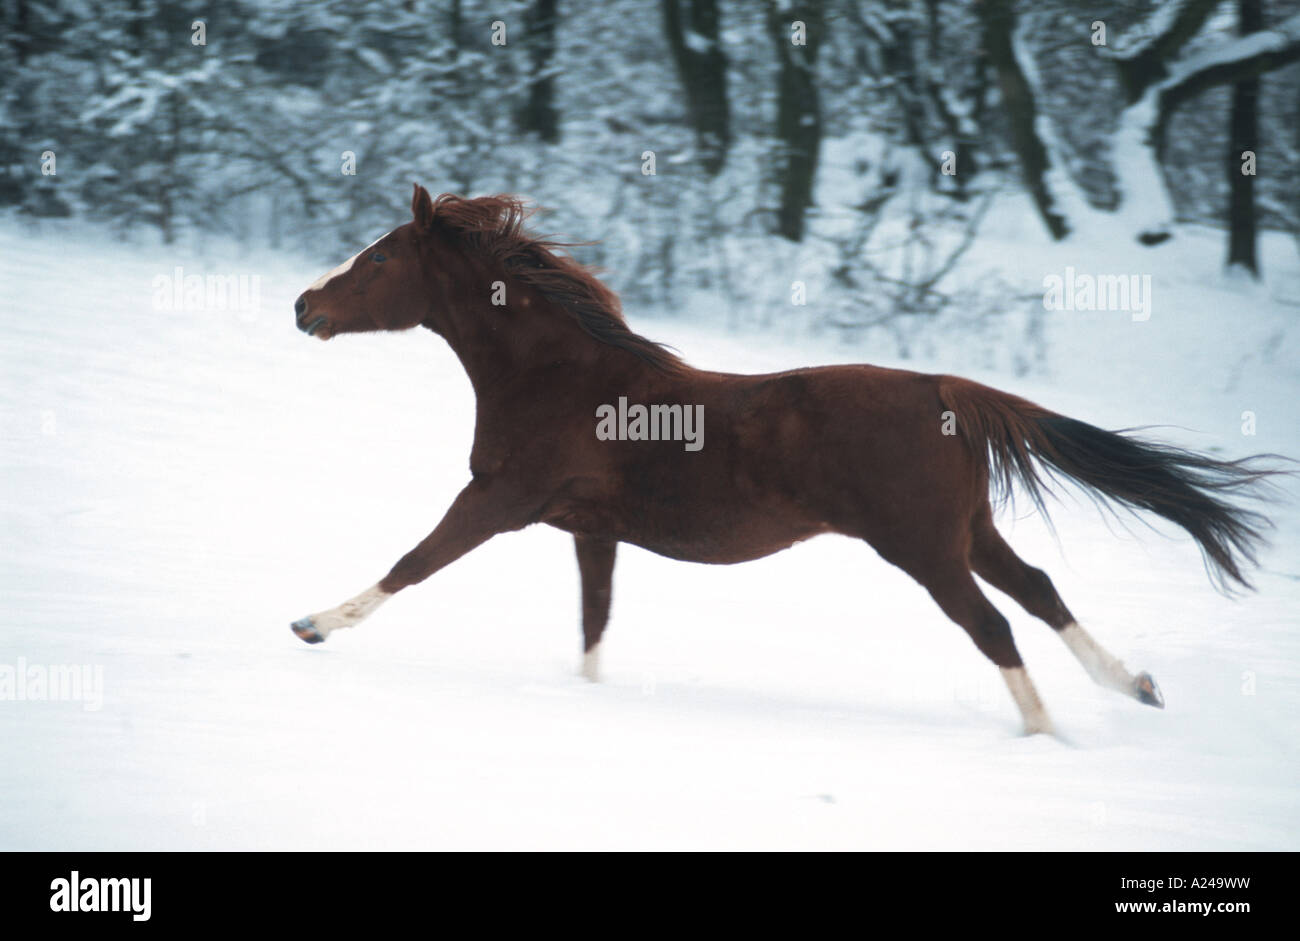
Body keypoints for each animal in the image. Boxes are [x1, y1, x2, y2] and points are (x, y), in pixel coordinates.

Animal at [289, 183, 1282, 735]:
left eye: (377, 259)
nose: (304, 306)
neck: (560, 376)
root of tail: (945, 390)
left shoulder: (500, 498)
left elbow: (412, 562)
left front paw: (312, 624)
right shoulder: (587, 527)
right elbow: (593, 623)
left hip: (924, 549)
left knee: (996, 626)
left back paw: (1048, 735)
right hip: (968, 532)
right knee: (1039, 590)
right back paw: (1135, 685)